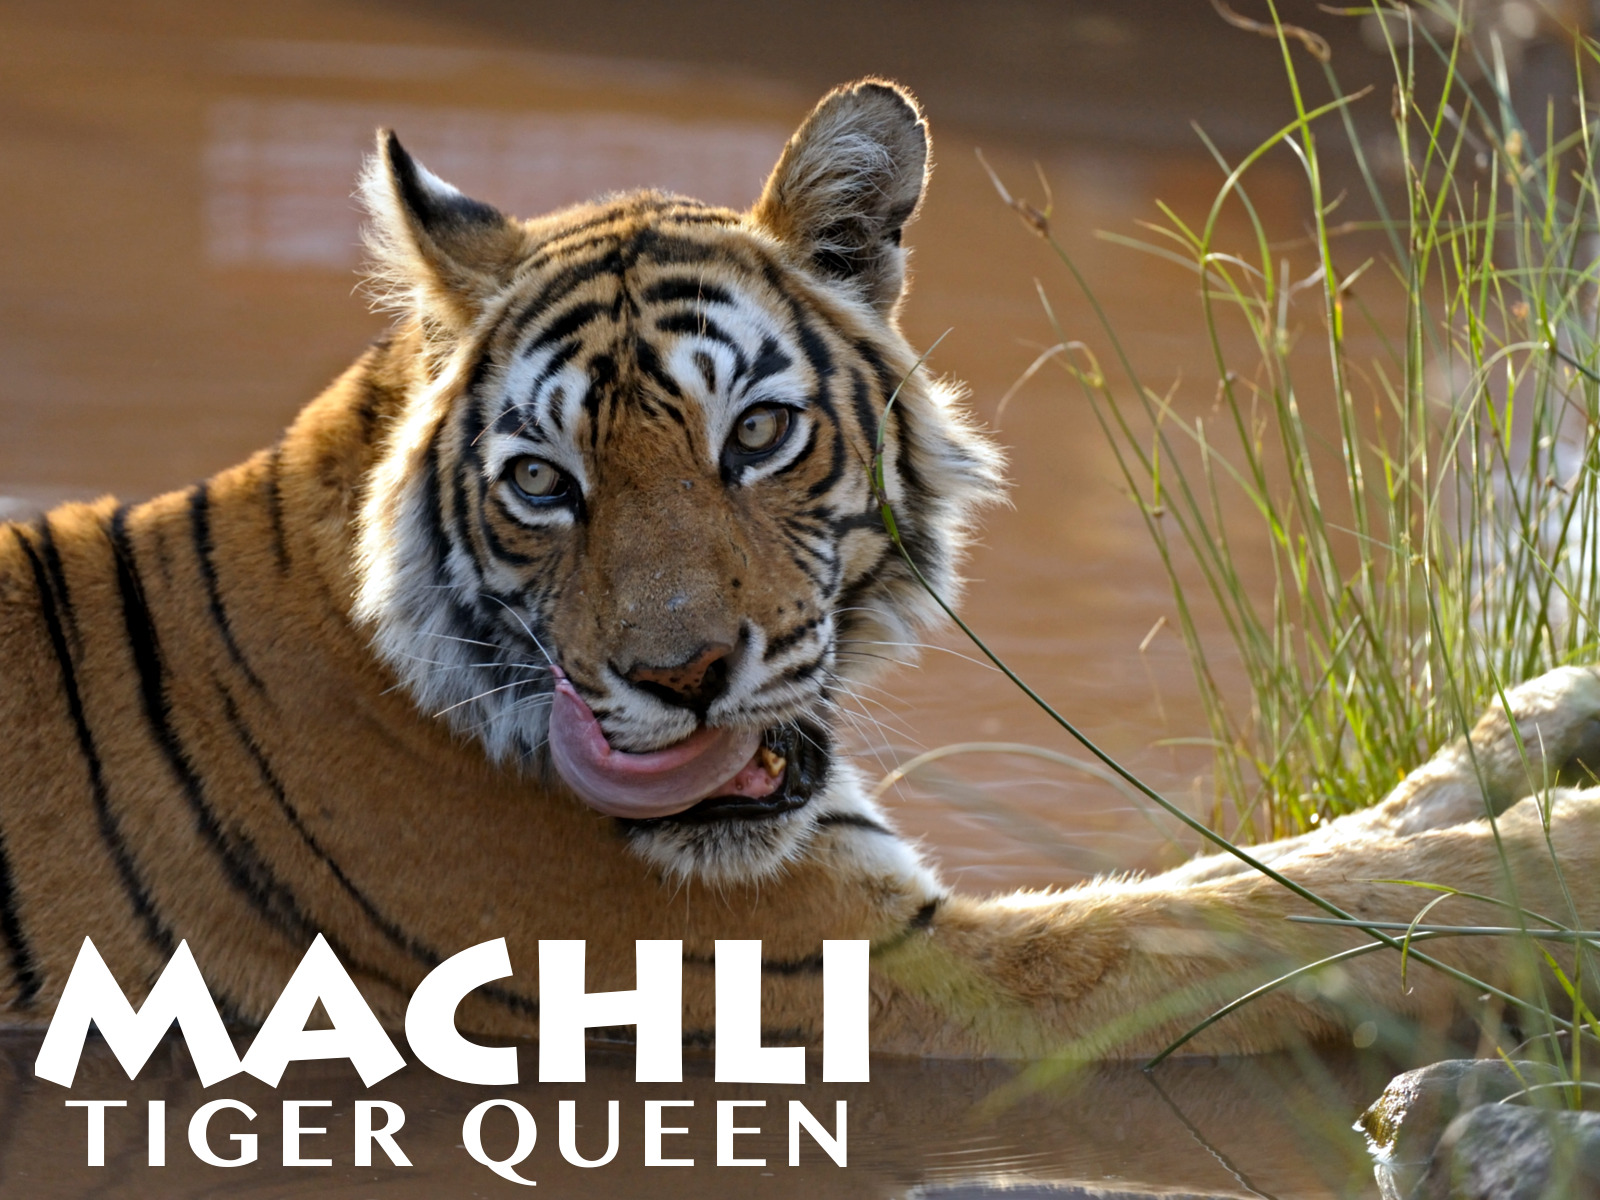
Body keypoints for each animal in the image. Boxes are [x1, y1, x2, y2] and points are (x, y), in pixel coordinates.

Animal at [2, 77, 1599, 1060]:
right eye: (543, 484)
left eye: (757, 434)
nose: (681, 679)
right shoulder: (894, 975)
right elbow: (1289, 908)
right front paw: (1563, 864)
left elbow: (1353, 831)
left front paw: (1557, 710)